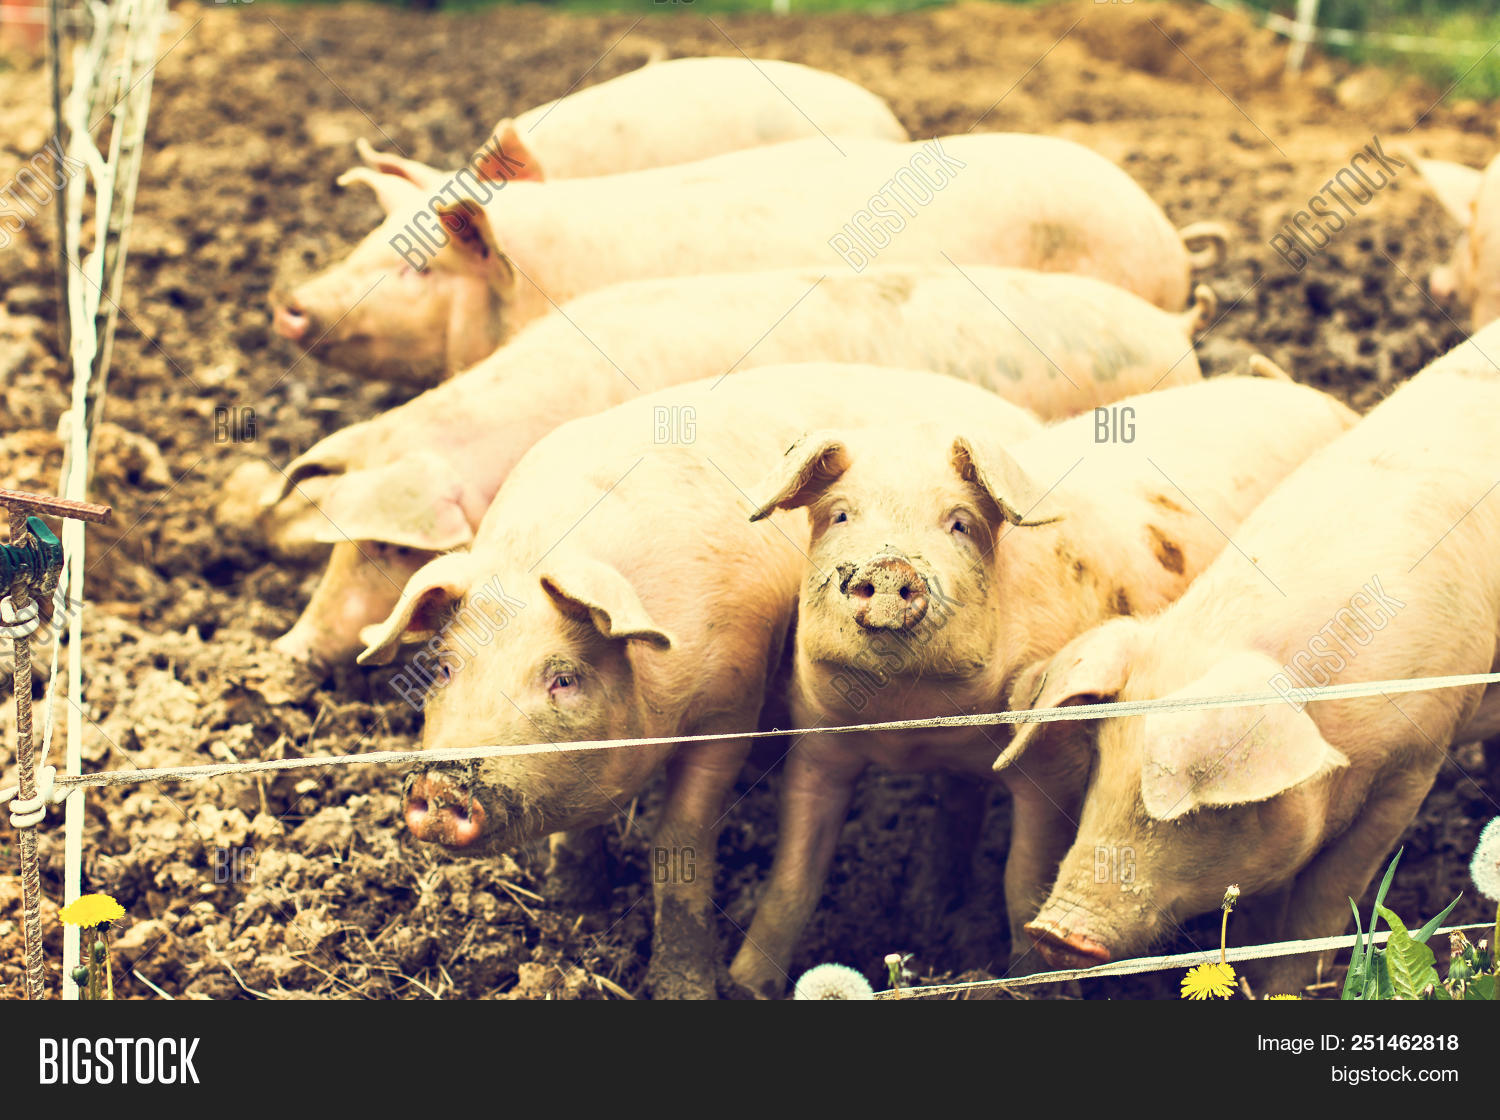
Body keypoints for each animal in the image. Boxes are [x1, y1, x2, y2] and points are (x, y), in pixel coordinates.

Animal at [353, 363, 1044, 999]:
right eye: (444, 668)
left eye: (564, 679)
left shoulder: (728, 706)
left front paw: (684, 988)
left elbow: (680, 845)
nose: (441, 786)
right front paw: (571, 904)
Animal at [728, 374, 1357, 998]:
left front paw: (1030, 983)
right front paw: (743, 983)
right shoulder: (816, 739)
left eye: (959, 523)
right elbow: (795, 875)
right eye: (840, 516)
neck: (912, 722)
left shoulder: (1053, 758)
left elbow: (1022, 878)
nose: (890, 566)